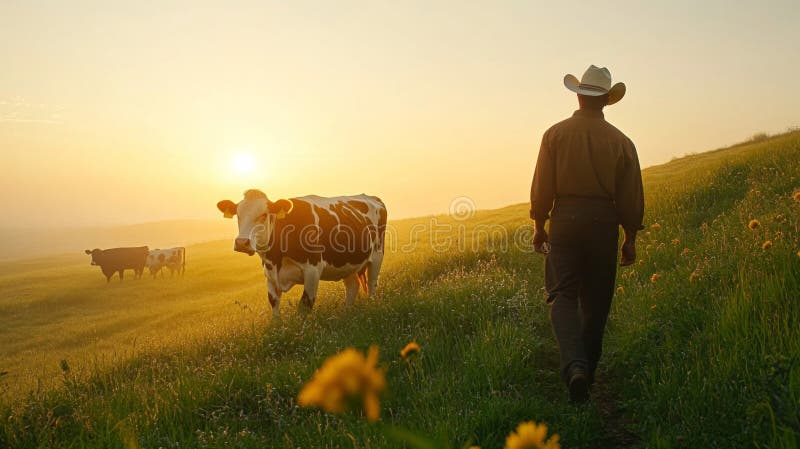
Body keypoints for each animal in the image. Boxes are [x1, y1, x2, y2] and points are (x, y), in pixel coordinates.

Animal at [216, 189, 387, 318]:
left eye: (264, 215)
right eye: (238, 215)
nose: (241, 243)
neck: (276, 258)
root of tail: (372, 197)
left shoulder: (313, 270)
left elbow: (305, 304)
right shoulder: (269, 274)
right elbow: (274, 303)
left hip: (377, 256)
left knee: (372, 284)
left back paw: (371, 307)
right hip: (347, 264)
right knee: (353, 286)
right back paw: (346, 313)